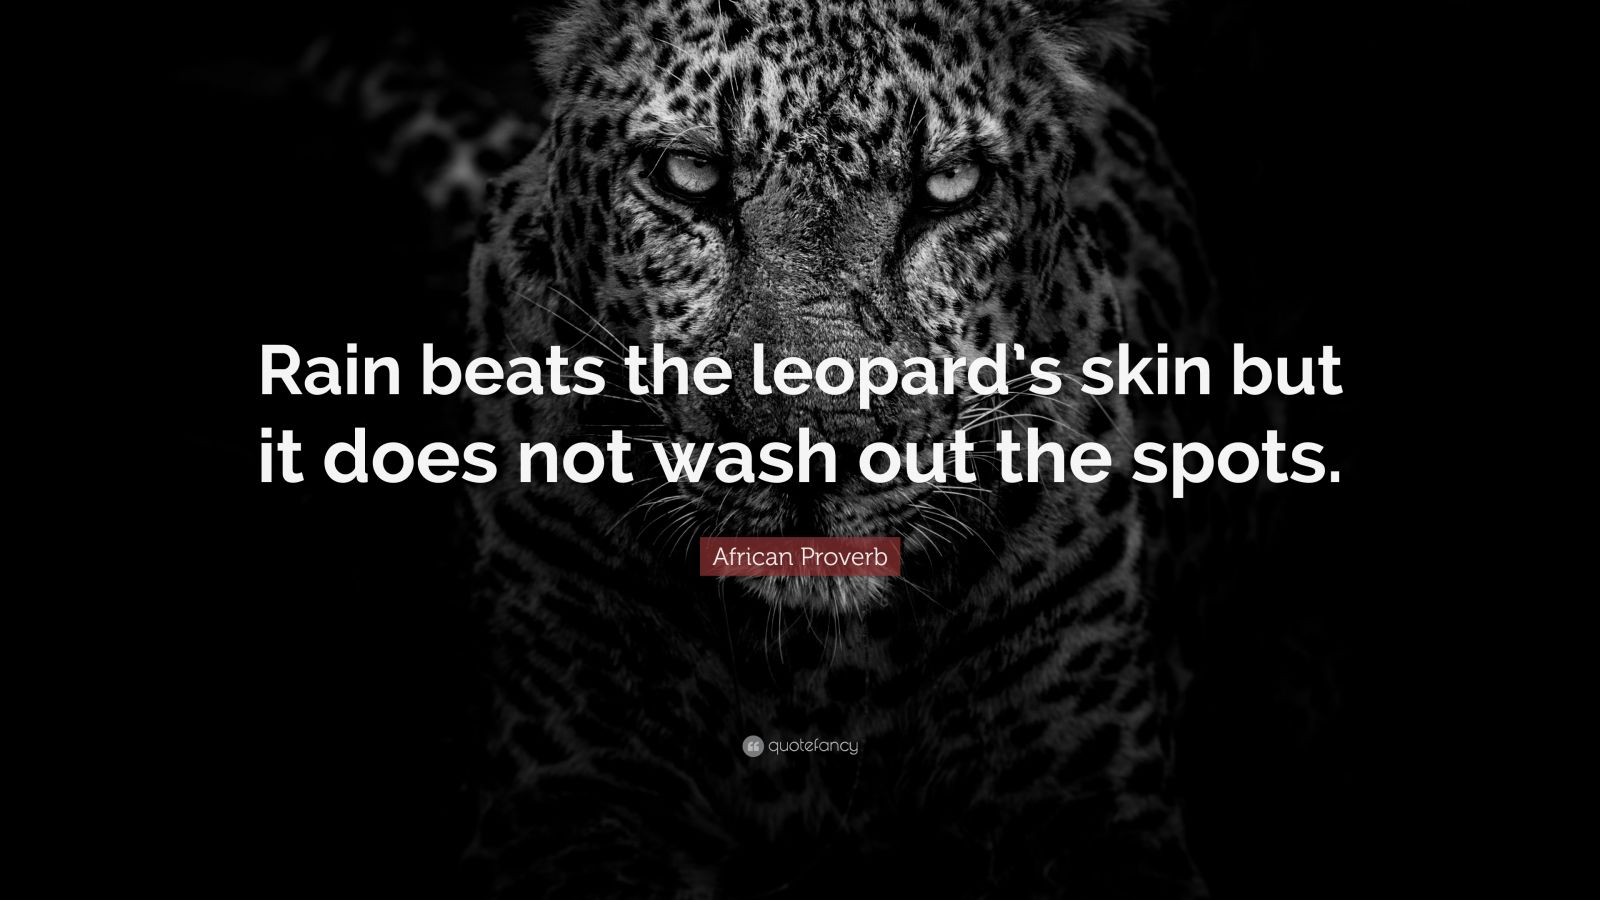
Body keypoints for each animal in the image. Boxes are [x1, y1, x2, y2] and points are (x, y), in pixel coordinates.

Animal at [306, 1, 1258, 896]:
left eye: (951, 184)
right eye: (690, 175)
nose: (813, 445)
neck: (816, 668)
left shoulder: (1087, 797)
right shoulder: (567, 793)